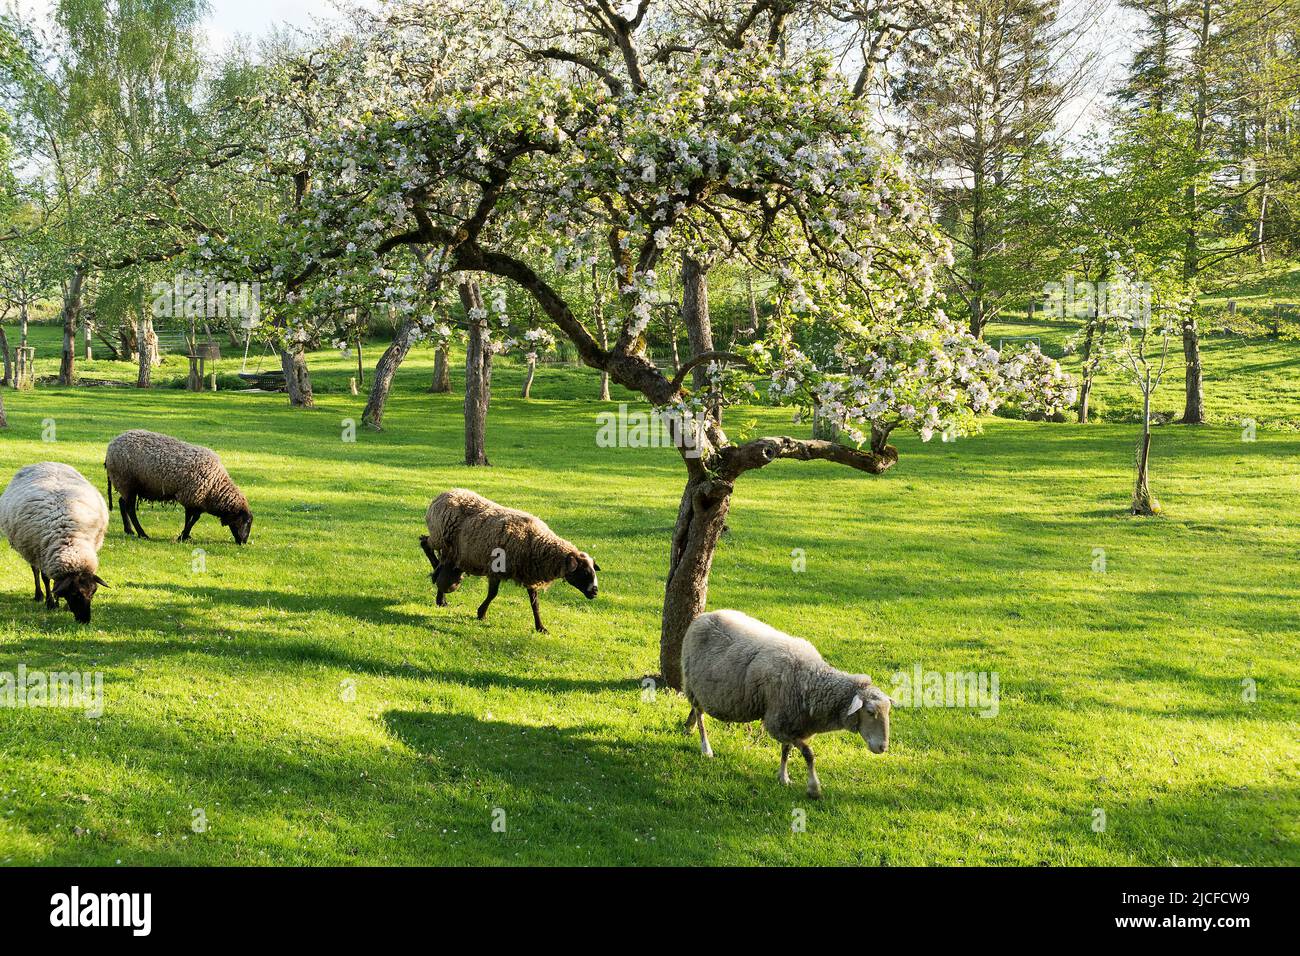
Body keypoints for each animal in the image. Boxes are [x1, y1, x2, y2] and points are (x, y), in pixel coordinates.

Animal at [0, 462, 109, 623]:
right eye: (74, 594)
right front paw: (50, 603)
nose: (85, 620)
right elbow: (45, 579)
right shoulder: (41, 552)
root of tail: (45, 462)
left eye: (93, 592)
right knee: (35, 571)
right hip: (31, 549)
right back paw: (39, 595)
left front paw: (64, 606)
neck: (69, 542)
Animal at [104, 430, 253, 544]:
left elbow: (191, 518)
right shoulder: (192, 496)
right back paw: (142, 534)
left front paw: (186, 536)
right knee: (130, 509)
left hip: (127, 486)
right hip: (126, 481)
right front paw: (183, 536)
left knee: (122, 503)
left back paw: (129, 530)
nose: (244, 542)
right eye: (247, 521)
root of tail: (111, 446)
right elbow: (192, 518)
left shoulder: (194, 499)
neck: (215, 486)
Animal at [420, 488, 599, 633]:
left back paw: (440, 596)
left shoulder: (529, 574)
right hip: (440, 539)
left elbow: (535, 603)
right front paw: (481, 614)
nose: (595, 591)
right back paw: (438, 581)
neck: (537, 543)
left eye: (592, 571)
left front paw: (540, 627)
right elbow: (493, 594)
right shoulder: (495, 568)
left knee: (442, 562)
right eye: (583, 572)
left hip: (452, 551)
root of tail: (442, 495)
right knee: (425, 544)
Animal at [681, 609, 892, 798]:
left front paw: (783, 778)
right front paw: (813, 789)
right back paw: (706, 748)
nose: (883, 747)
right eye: (870, 711)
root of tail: (704, 615)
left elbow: (786, 751)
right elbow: (808, 754)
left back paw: (690, 729)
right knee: (699, 713)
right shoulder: (777, 723)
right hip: (692, 684)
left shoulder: (791, 721)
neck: (812, 680)